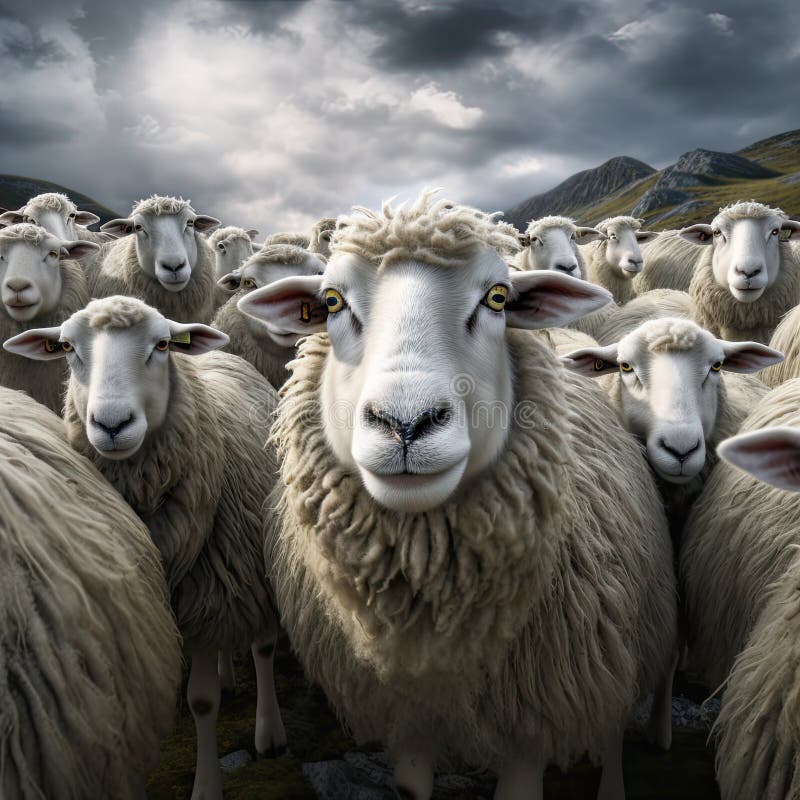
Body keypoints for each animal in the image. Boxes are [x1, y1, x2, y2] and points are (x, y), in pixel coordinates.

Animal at [238, 192, 677, 800]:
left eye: (498, 298)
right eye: (330, 301)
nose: (405, 423)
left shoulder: (537, 714)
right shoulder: (408, 716)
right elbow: (410, 785)